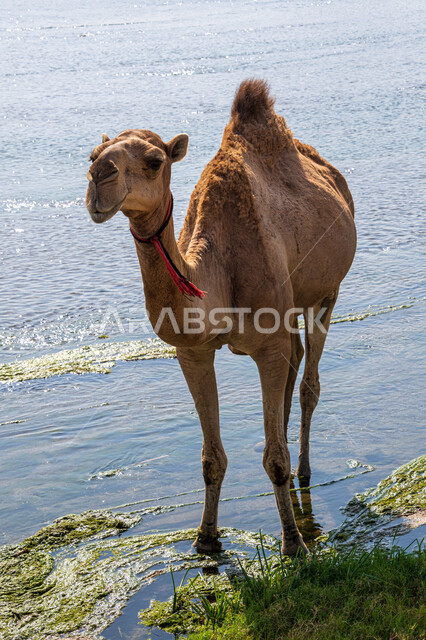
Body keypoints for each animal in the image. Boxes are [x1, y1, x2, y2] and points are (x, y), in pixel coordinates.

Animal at [85, 79, 356, 556]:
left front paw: (293, 545)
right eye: (90, 156)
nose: (100, 176)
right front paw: (205, 538)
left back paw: (305, 468)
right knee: (294, 366)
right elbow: (211, 458)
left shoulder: (267, 342)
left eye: (155, 161)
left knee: (309, 383)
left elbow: (275, 459)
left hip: (326, 294)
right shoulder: (193, 352)